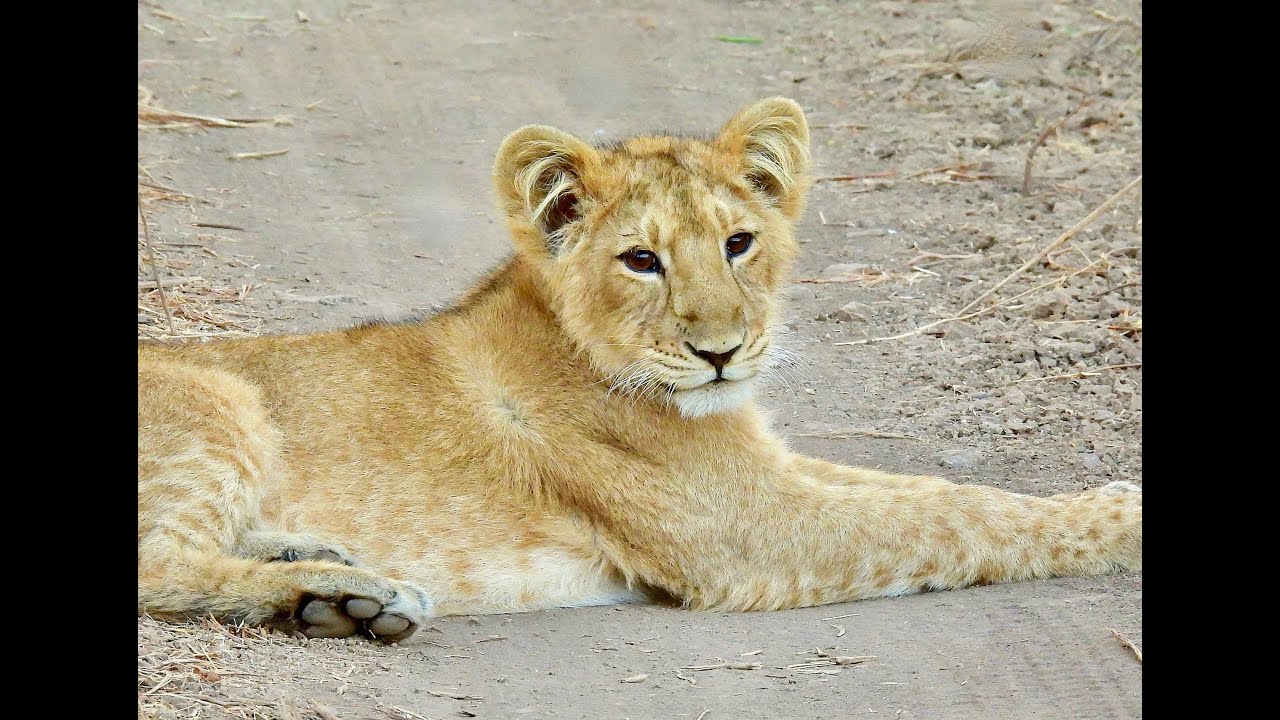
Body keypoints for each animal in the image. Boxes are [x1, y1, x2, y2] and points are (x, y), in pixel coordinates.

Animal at [138, 97, 1141, 642]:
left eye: (739, 243)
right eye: (641, 260)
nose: (721, 351)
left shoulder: (762, 471)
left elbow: (934, 489)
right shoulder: (745, 528)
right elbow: (959, 516)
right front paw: (1126, 517)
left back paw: (326, 572)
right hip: (221, 400)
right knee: (158, 563)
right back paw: (349, 594)